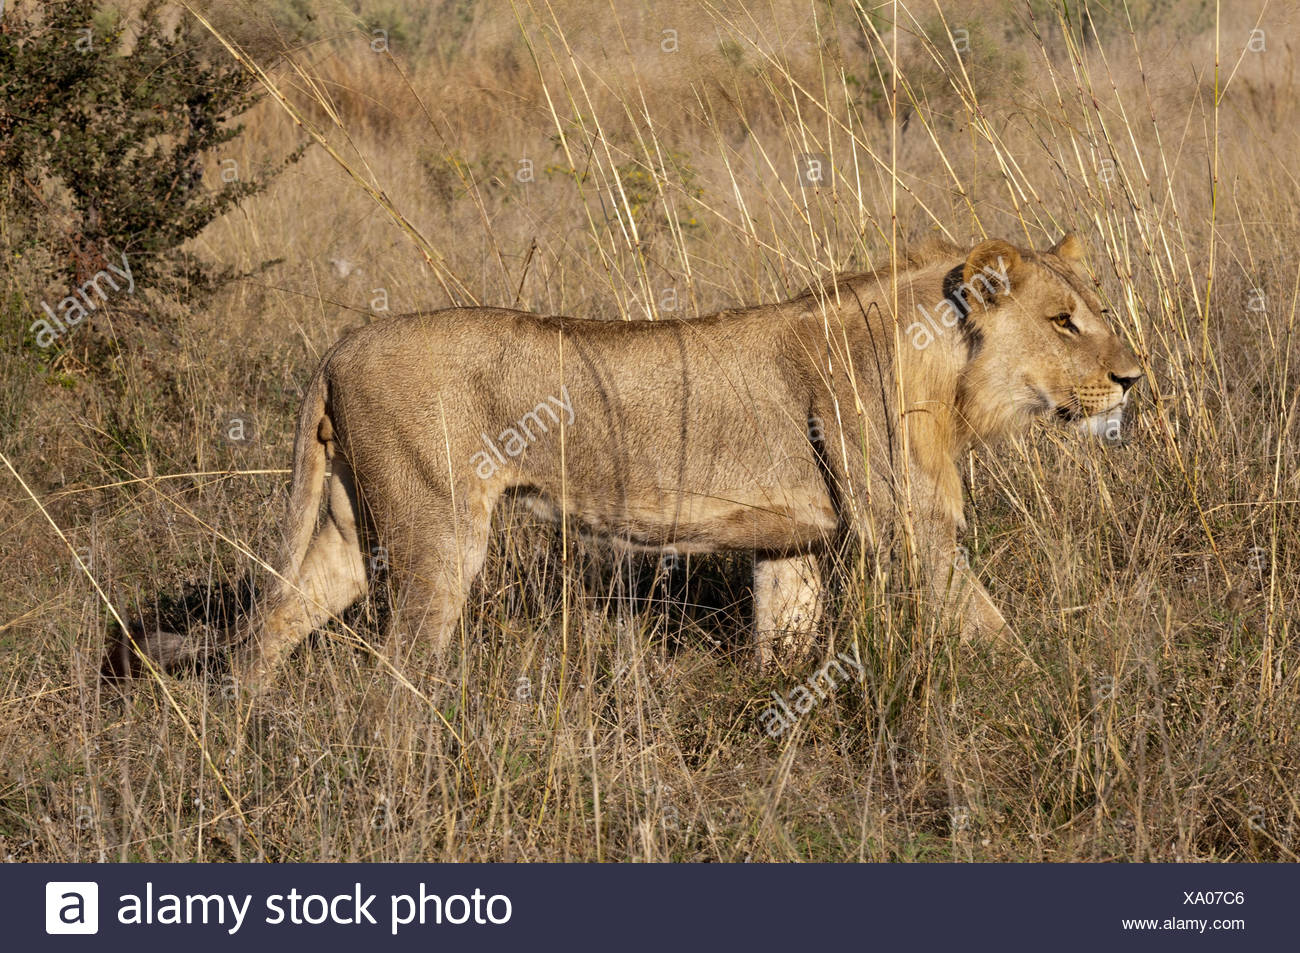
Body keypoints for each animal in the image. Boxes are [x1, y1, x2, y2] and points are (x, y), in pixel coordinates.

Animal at [109, 234, 1140, 693]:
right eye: (1063, 321)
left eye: (1093, 310)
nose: (1134, 377)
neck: (951, 371)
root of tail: (337, 346)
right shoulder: (911, 528)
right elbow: (989, 626)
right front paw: (1054, 693)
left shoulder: (790, 541)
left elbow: (788, 639)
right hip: (436, 531)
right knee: (396, 672)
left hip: (341, 527)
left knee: (269, 631)